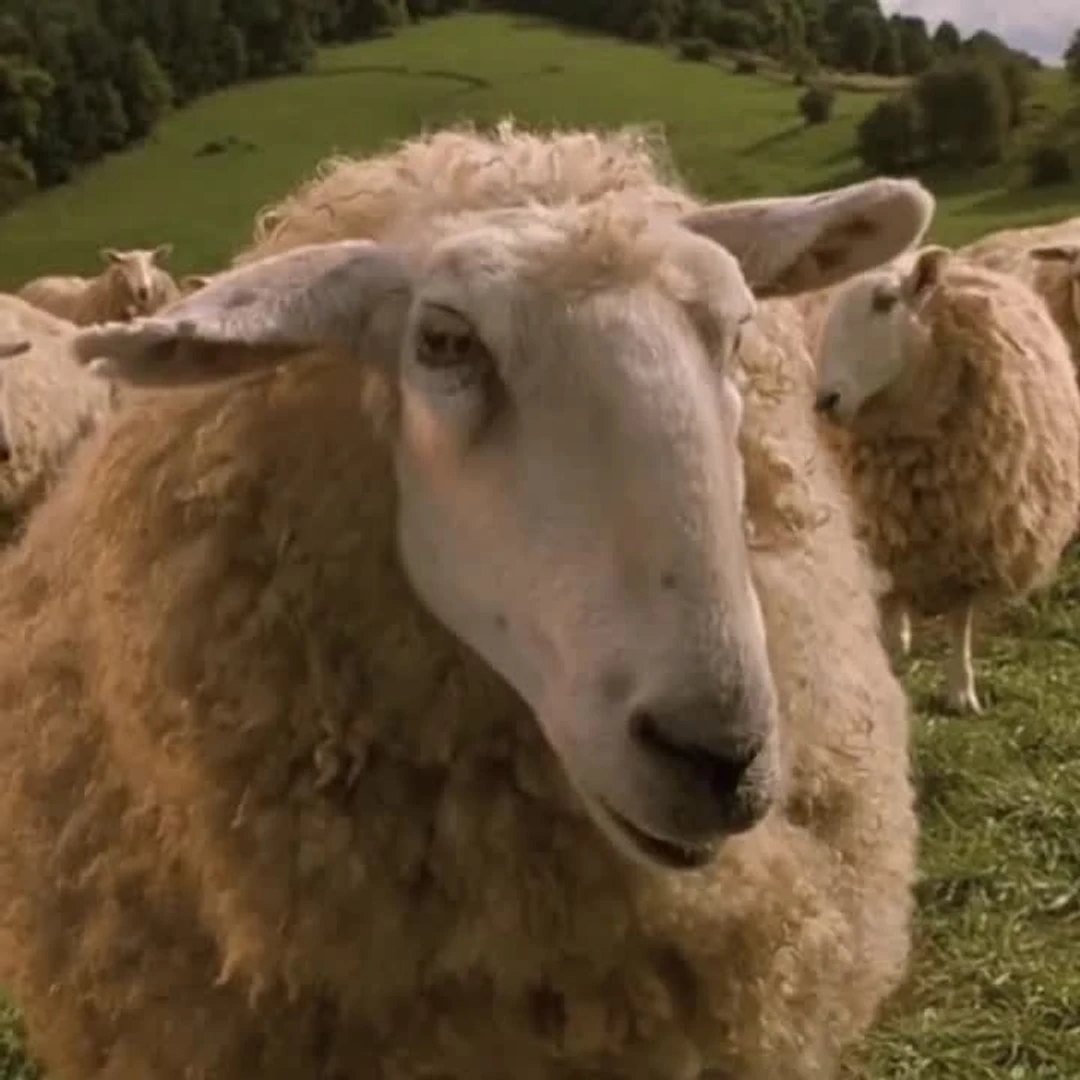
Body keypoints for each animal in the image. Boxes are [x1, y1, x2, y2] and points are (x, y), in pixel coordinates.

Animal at [814, 244, 1080, 714]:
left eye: (885, 302)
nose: (825, 400)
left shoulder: (974, 539)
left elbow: (960, 619)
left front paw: (961, 692)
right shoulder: (879, 531)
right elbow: (891, 600)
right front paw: (892, 666)